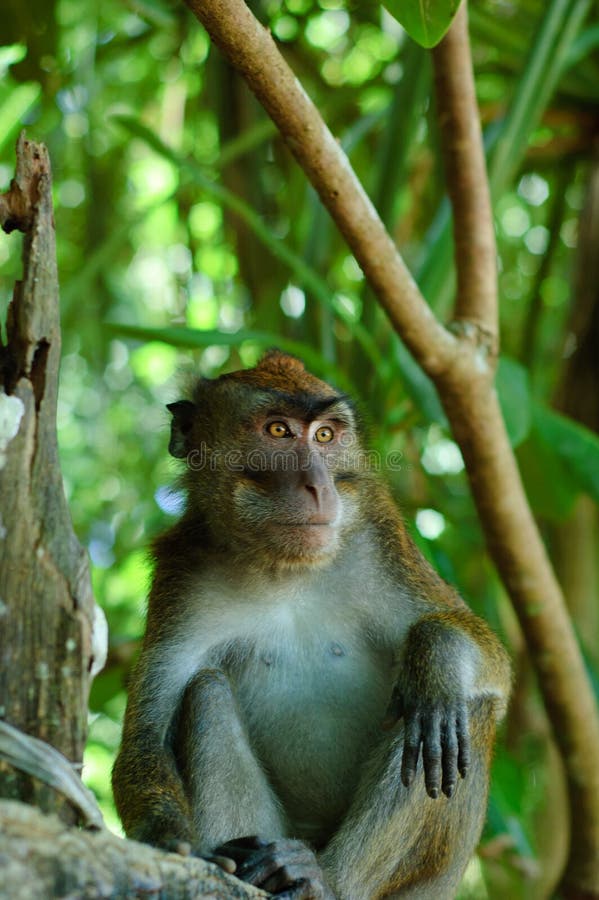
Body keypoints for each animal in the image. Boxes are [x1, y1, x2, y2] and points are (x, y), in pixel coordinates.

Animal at [112, 350, 511, 899]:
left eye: (325, 436)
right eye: (278, 431)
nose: (319, 485)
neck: (285, 569)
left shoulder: (379, 541)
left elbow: (491, 660)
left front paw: (437, 654)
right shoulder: (182, 579)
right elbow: (145, 740)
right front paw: (170, 840)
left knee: (456, 711)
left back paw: (328, 879)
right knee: (205, 691)